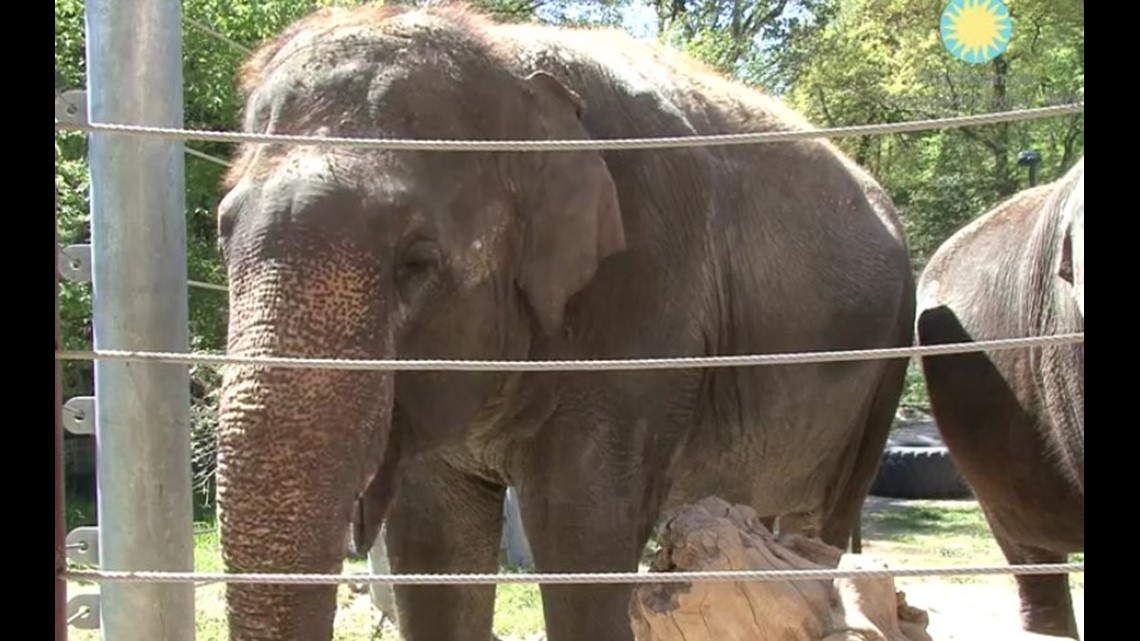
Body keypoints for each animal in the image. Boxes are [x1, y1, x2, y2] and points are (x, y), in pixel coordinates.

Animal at [213, 5, 917, 641]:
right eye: (223, 233)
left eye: (416, 261)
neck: (506, 58)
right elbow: (433, 543)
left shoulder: (647, 291)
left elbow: (580, 535)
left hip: (885, 362)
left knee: (820, 521)